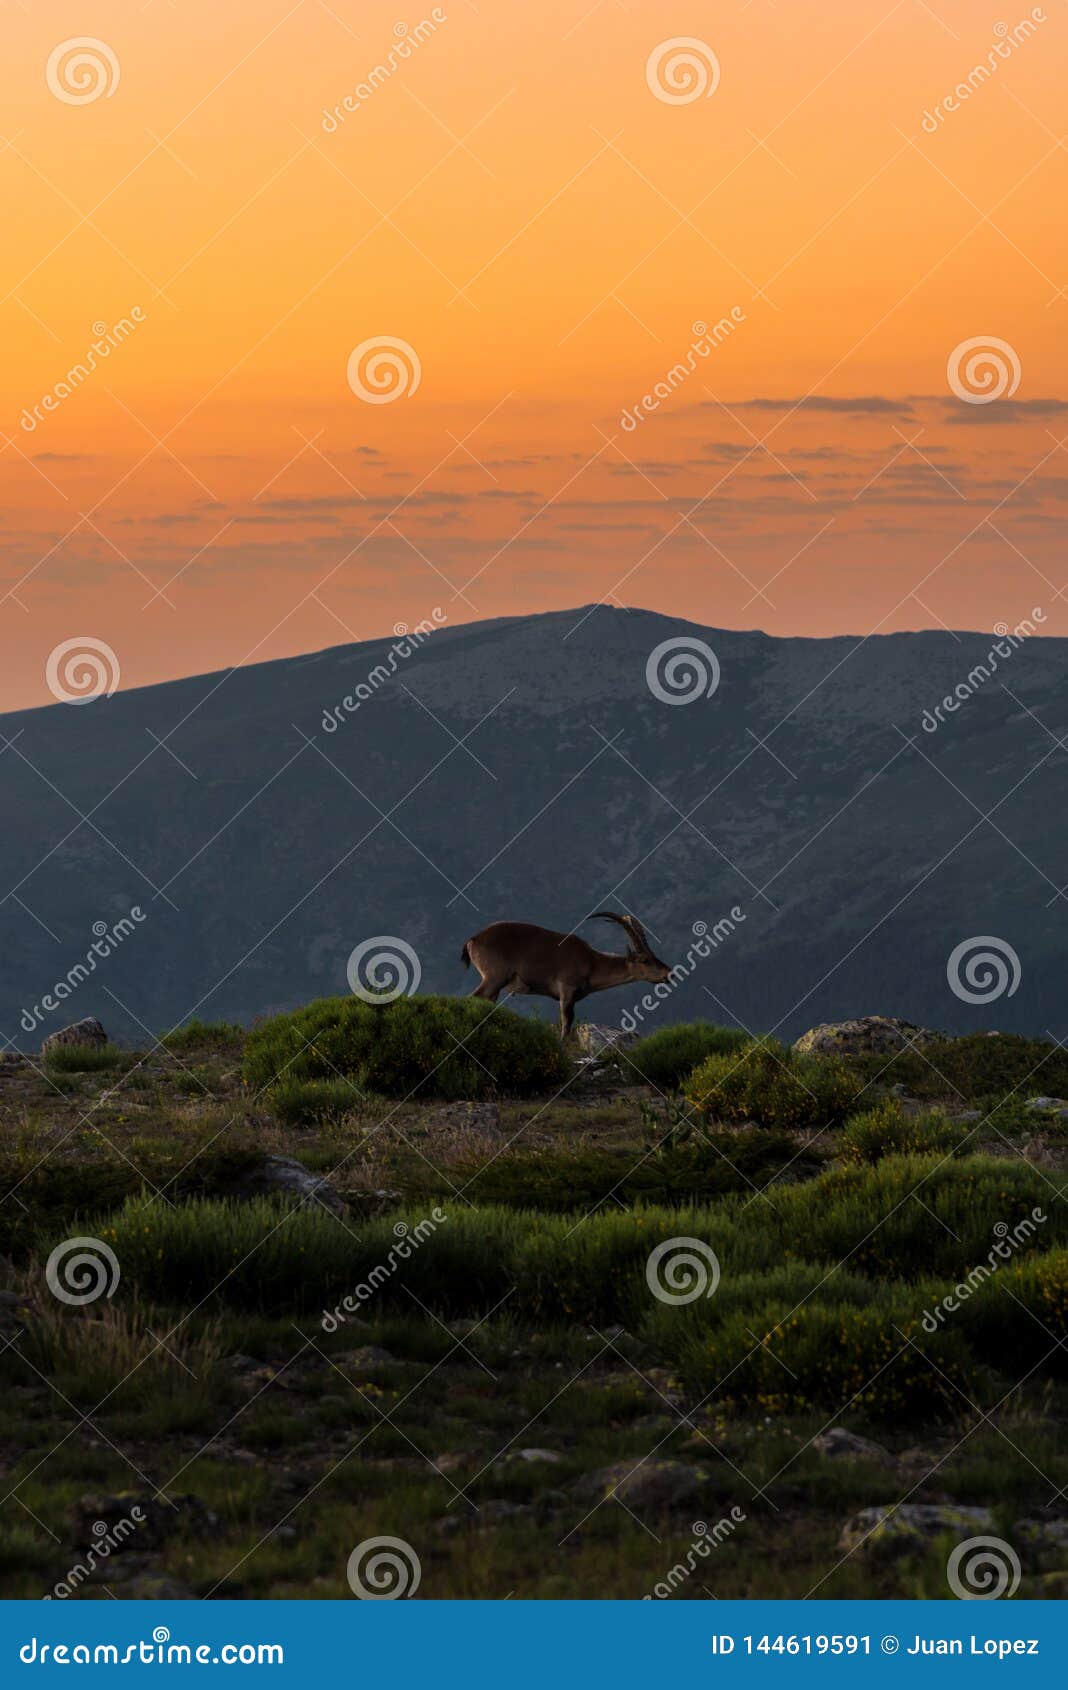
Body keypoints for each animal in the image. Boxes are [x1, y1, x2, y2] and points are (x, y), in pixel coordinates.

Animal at [460, 912, 671, 1038]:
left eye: (654, 956)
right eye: (645, 960)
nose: (668, 973)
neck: (591, 962)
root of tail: (474, 939)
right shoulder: (566, 990)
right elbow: (566, 1021)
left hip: (495, 984)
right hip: (494, 977)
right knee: (473, 997)